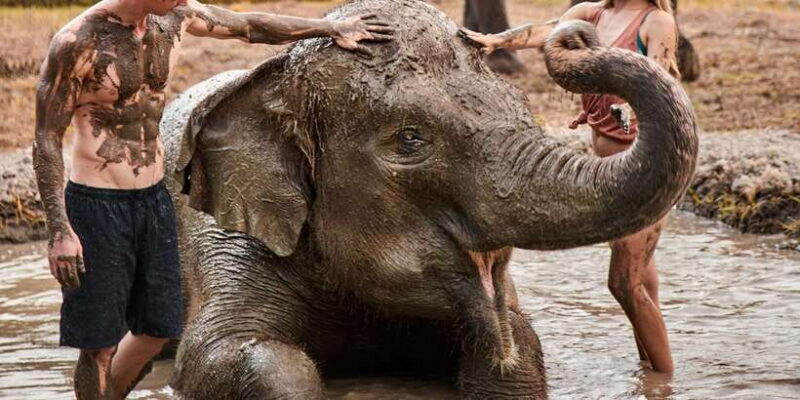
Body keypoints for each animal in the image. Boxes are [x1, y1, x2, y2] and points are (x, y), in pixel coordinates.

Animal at [159, 0, 697, 398]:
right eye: (410, 139)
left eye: (521, 106)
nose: (575, 34)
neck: (270, 79)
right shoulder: (222, 237)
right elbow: (228, 356)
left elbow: (518, 345)